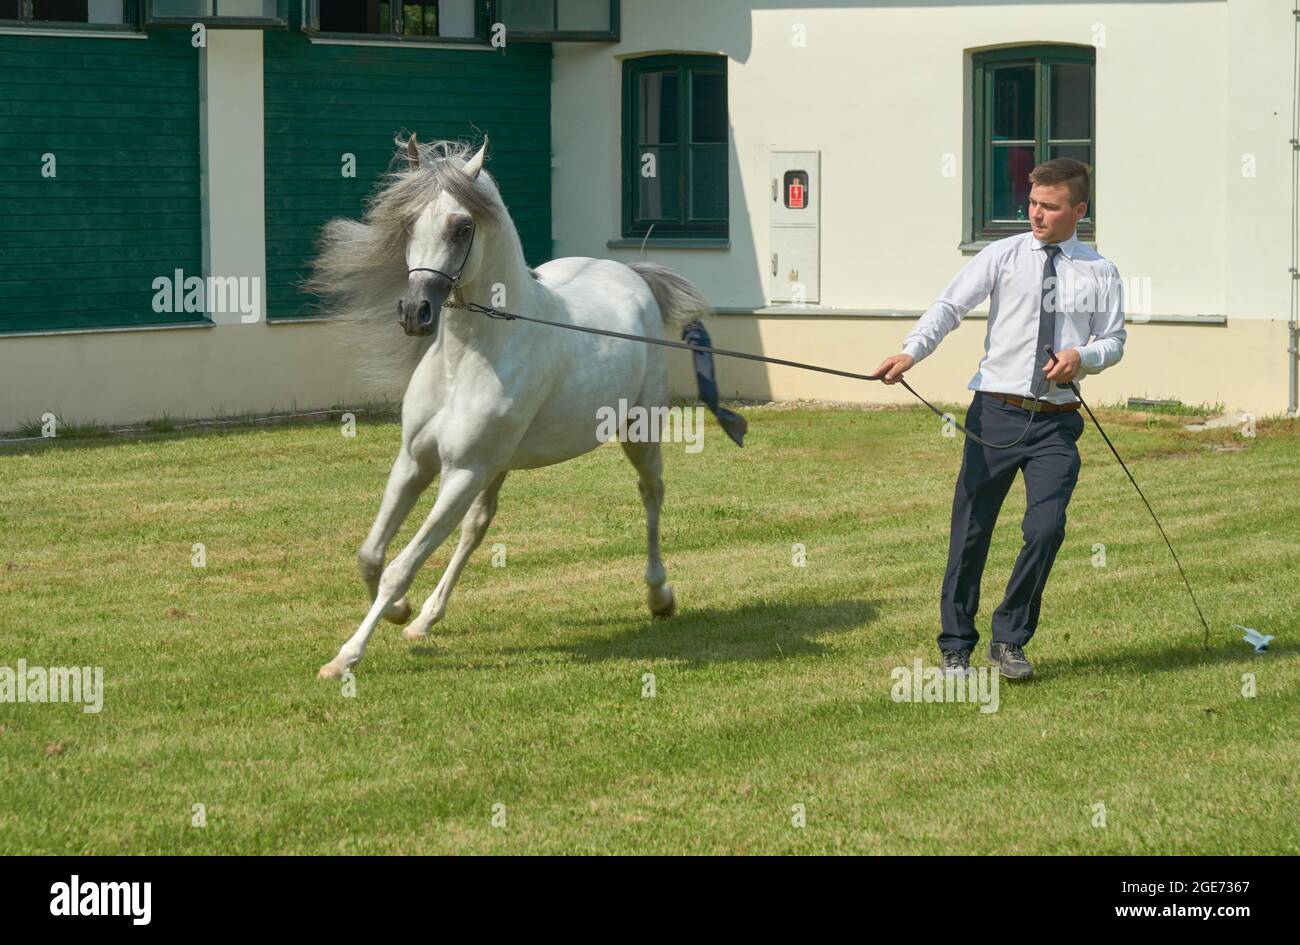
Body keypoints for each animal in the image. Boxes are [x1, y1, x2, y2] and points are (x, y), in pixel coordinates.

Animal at [310, 134, 717, 678]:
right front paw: (400, 613)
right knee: (476, 527)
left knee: (651, 496)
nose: (415, 313)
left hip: (637, 433)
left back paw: (660, 596)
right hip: (498, 465)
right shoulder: (417, 462)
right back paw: (426, 619)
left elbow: (400, 565)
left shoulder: (462, 471)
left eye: (462, 226)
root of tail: (630, 274)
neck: (466, 361)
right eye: (408, 222)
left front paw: (345, 657)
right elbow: (372, 555)